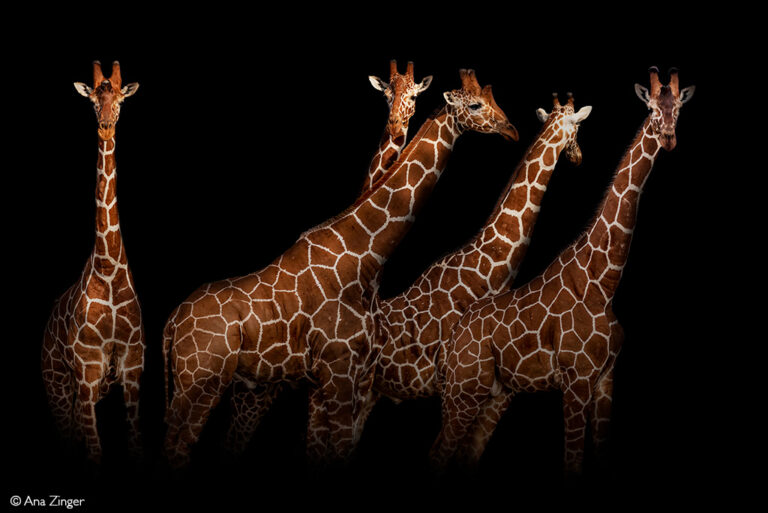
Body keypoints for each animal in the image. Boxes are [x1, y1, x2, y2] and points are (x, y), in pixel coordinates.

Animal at [41, 61, 143, 464]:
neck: (108, 269)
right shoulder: (86, 374)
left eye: (121, 100)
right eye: (92, 102)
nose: (105, 125)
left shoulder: (131, 373)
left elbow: (133, 445)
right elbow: (95, 453)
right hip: (56, 383)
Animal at [429, 67, 695, 475]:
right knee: (438, 454)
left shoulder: (605, 380)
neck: (603, 279)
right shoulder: (576, 380)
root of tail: (450, 344)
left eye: (678, 107)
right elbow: (572, 462)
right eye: (651, 107)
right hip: (464, 390)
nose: (667, 137)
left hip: (493, 392)